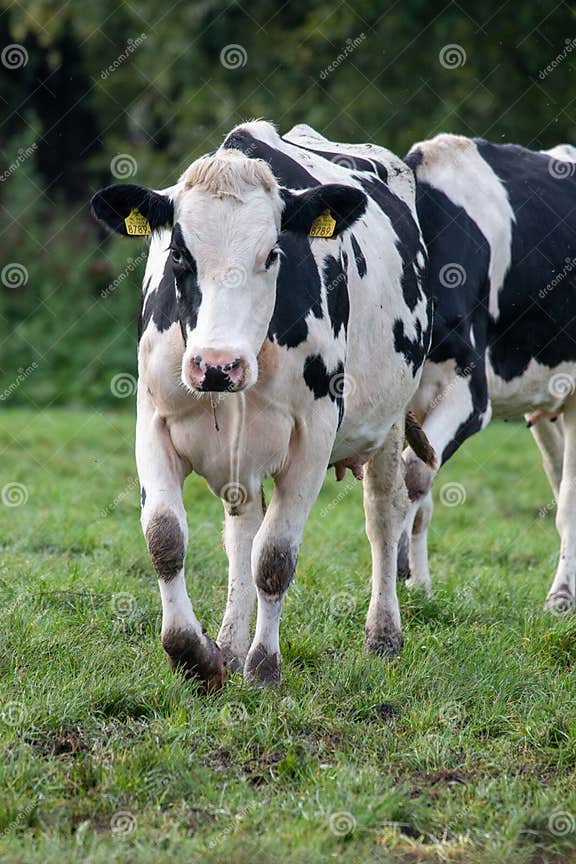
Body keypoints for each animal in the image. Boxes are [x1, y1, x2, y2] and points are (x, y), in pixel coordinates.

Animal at [91, 120, 433, 690]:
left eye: (273, 253)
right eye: (178, 254)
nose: (216, 365)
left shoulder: (313, 436)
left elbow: (274, 558)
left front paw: (264, 667)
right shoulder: (153, 421)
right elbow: (165, 538)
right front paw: (196, 655)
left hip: (388, 423)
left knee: (384, 515)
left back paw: (383, 635)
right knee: (241, 530)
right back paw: (229, 643)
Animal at [397, 134, 576, 613]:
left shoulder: (470, 395)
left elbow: (414, 476)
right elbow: (420, 497)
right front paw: (418, 587)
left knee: (569, 500)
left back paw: (560, 597)